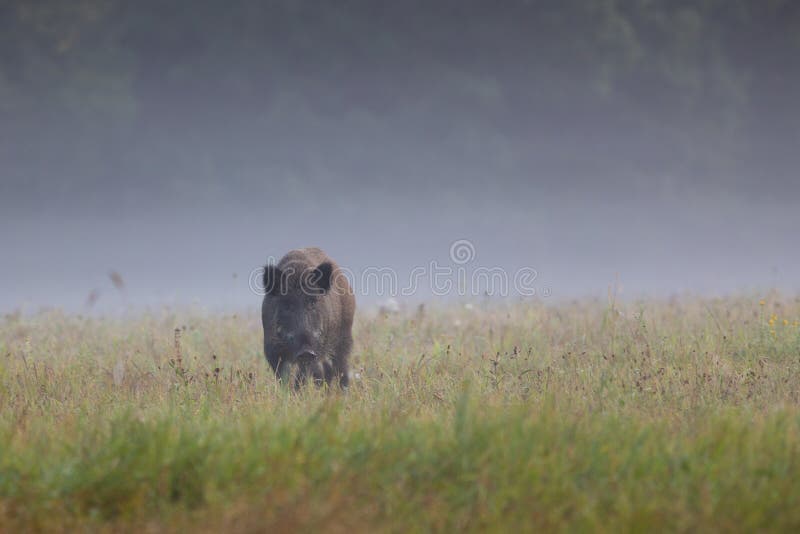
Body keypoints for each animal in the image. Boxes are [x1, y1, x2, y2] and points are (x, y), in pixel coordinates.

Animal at [261, 248, 355, 388]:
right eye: (287, 305)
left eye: (312, 302)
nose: (305, 350)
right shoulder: (272, 349)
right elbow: (283, 377)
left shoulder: (316, 348)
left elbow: (302, 376)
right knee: (327, 371)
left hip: (344, 337)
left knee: (341, 369)